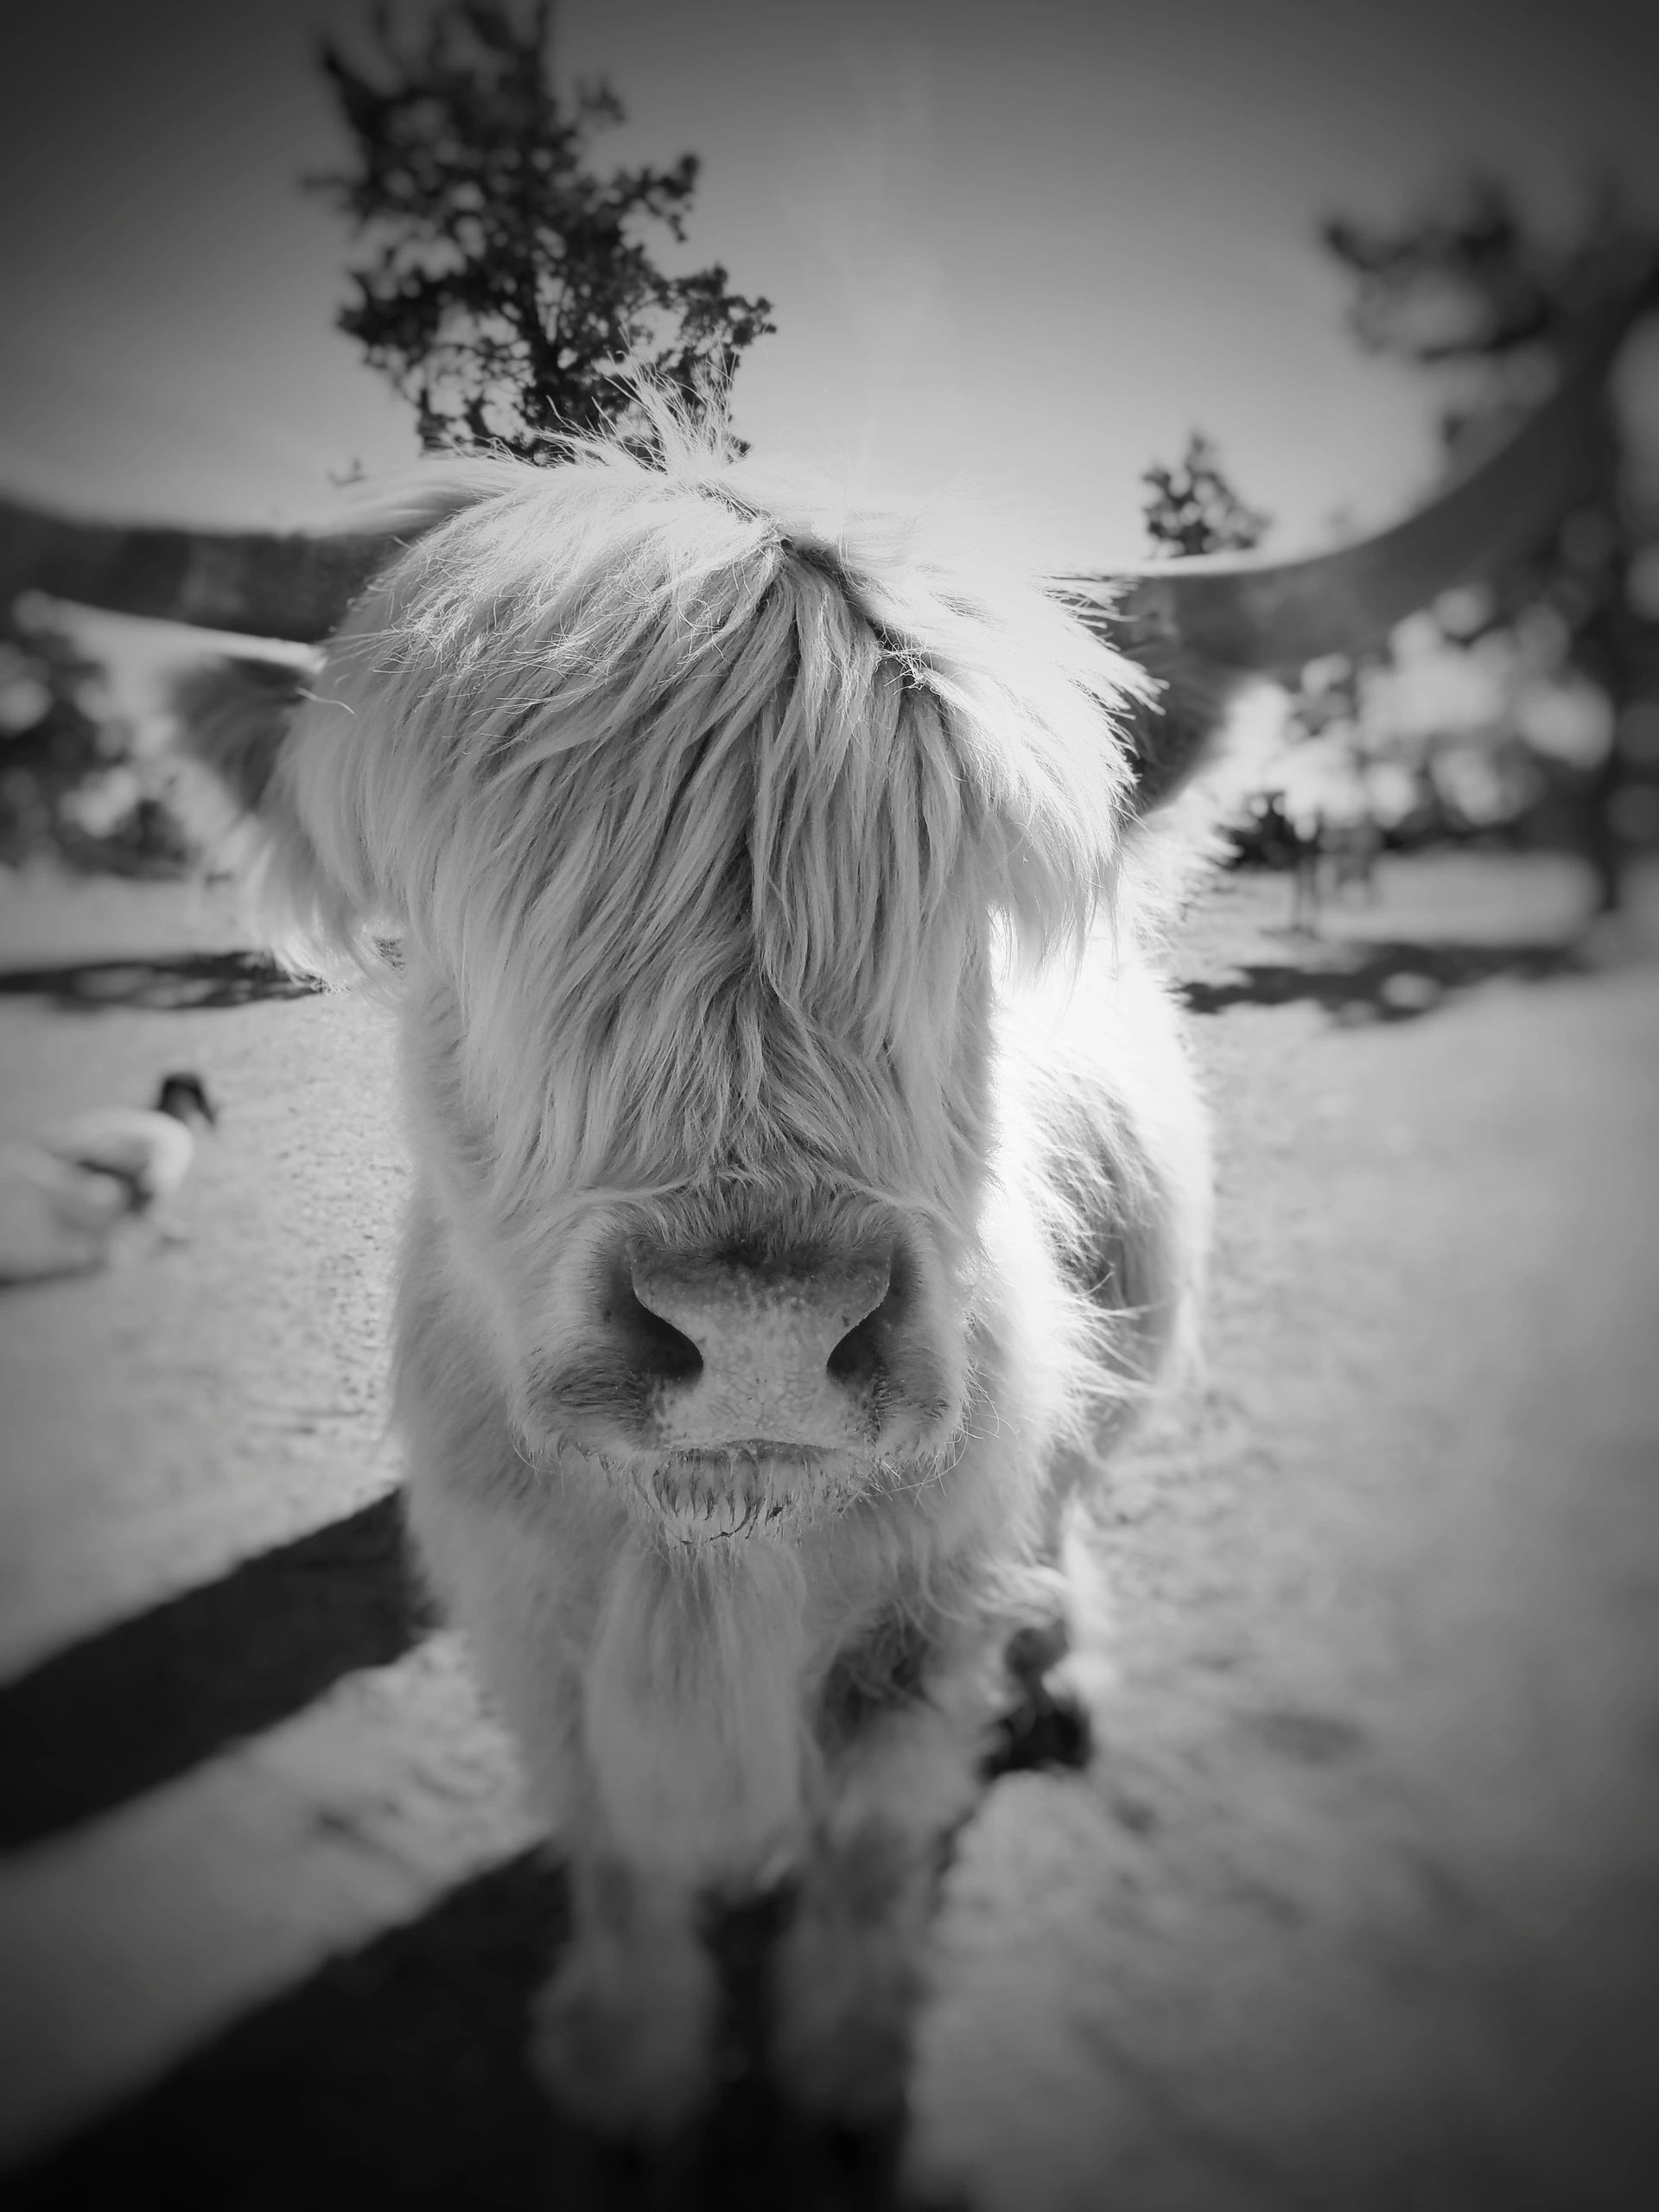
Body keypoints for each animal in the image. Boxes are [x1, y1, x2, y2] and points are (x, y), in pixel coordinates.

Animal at [0, 274, 1641, 2145]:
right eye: (457, 915)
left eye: (964, 906)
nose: (763, 1332)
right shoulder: (520, 1602)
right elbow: (610, 1840)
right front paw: (626, 2061)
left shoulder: (929, 1608)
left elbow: (865, 1844)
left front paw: (851, 2062)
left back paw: (1065, 1666)